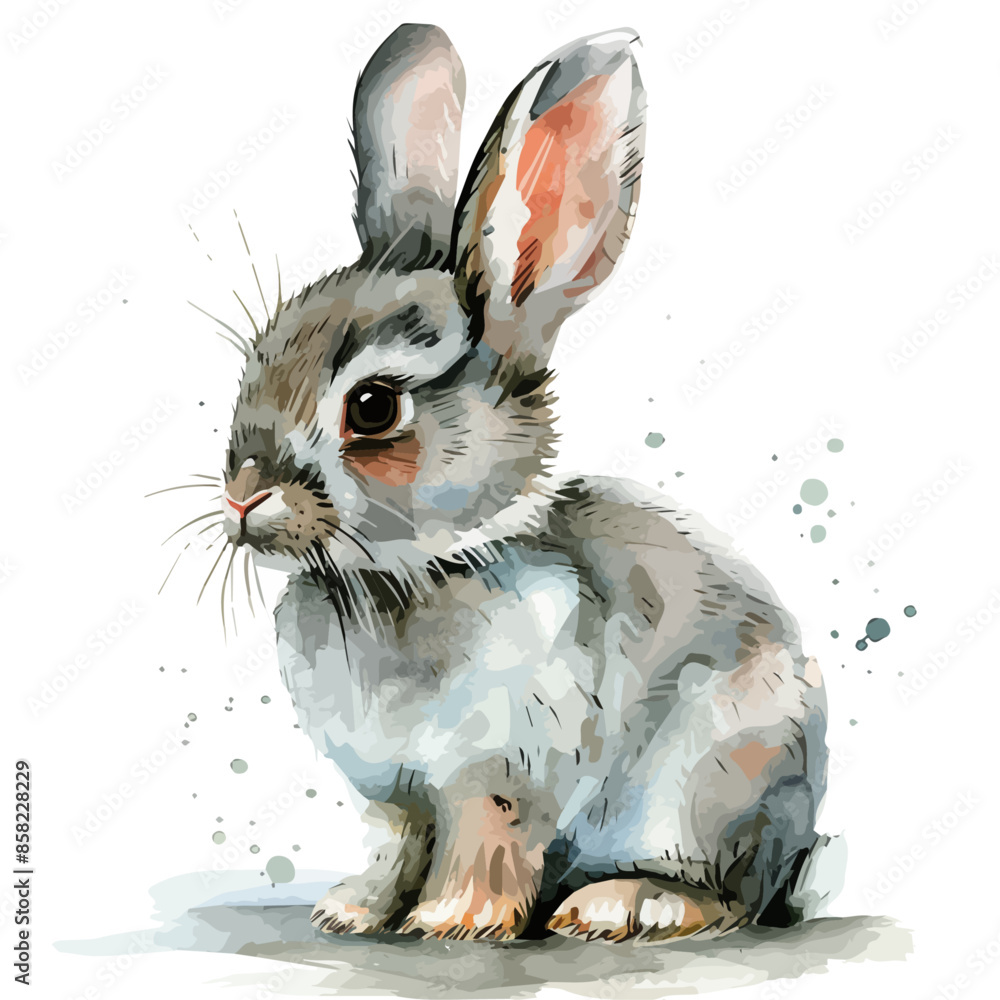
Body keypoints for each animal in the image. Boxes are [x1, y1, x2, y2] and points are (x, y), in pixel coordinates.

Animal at [215, 23, 830, 942]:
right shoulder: (394, 799)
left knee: (731, 897)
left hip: (708, 791)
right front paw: (351, 912)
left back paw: (621, 905)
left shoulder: (503, 776)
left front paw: (452, 922)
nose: (243, 494)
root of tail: (800, 852)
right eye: (259, 355)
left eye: (372, 406)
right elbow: (394, 848)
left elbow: (485, 844)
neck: (402, 576)